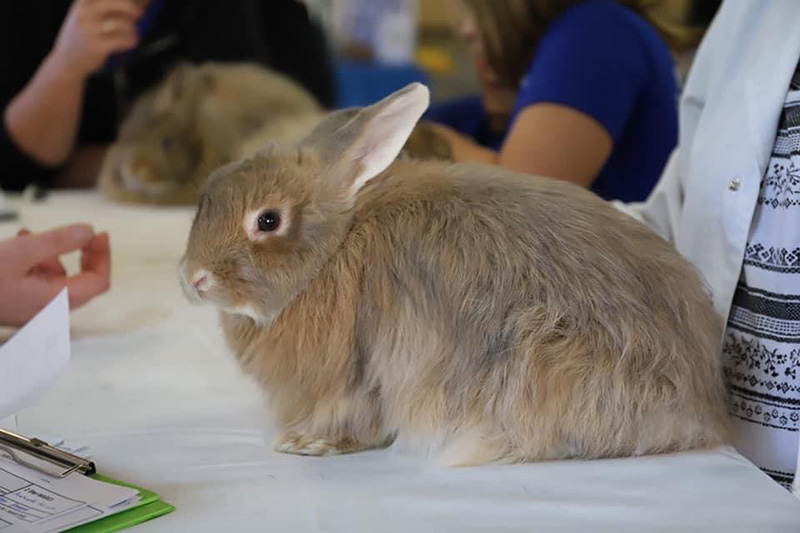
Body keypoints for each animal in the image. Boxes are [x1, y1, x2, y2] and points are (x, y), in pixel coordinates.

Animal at [178, 83, 732, 467]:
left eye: (268, 221)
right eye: (210, 190)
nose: (193, 280)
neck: (331, 250)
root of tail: (701, 403)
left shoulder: (357, 377)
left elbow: (355, 420)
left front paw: (304, 443)